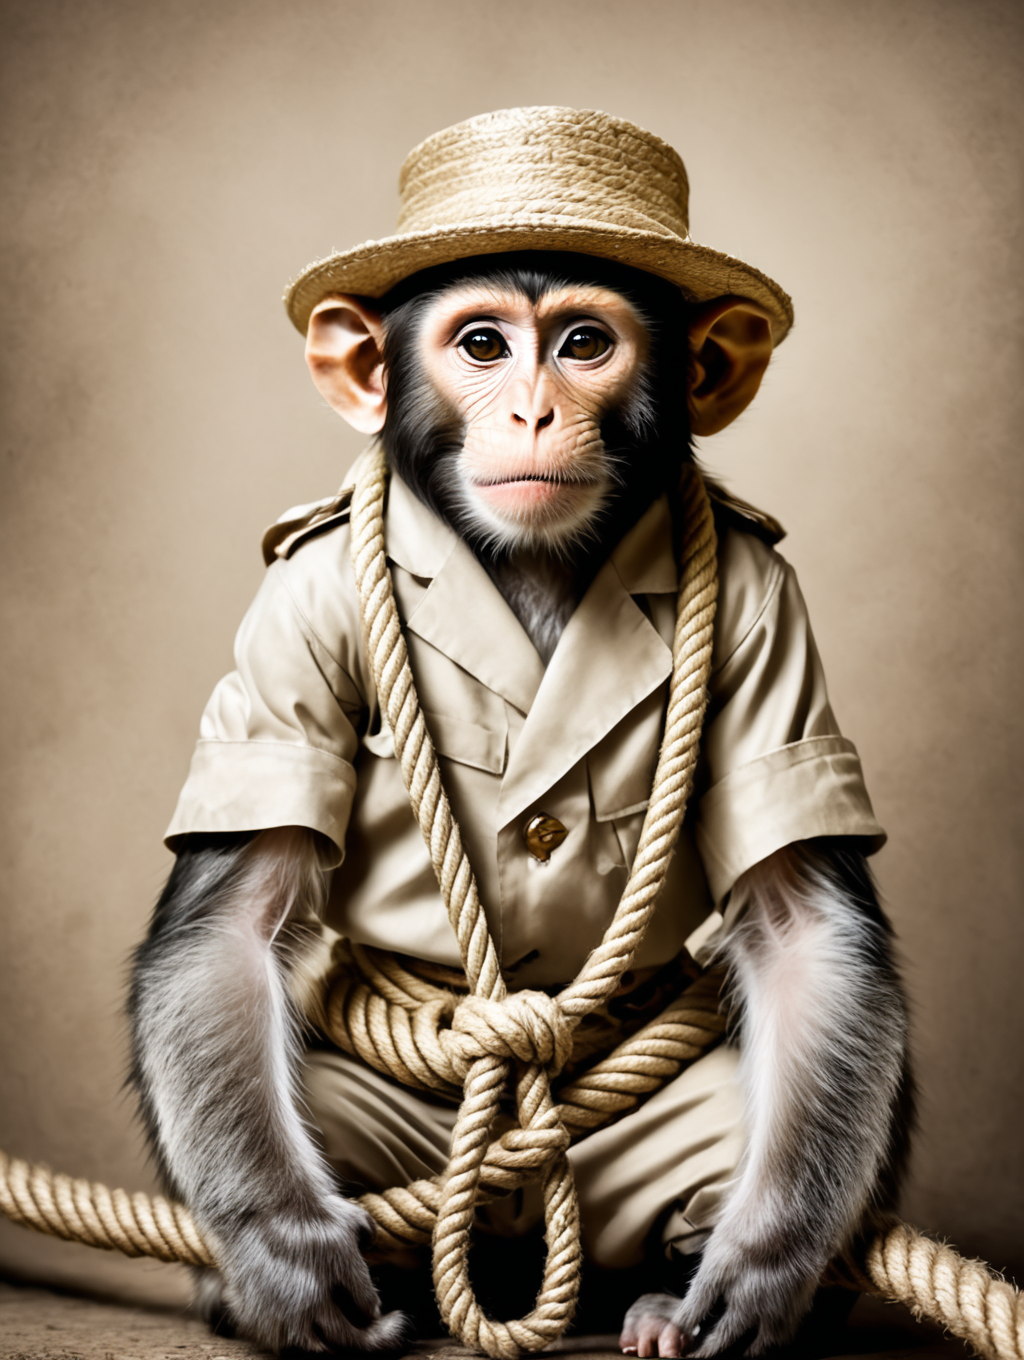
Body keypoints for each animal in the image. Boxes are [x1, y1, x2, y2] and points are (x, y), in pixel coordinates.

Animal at [130, 249, 911, 1358]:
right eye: (482, 343)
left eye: (583, 343)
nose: (533, 410)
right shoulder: (295, 603)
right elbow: (228, 923)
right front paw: (282, 1254)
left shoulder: (770, 601)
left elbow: (803, 923)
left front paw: (766, 1259)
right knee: (321, 1101)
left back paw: (671, 1292)